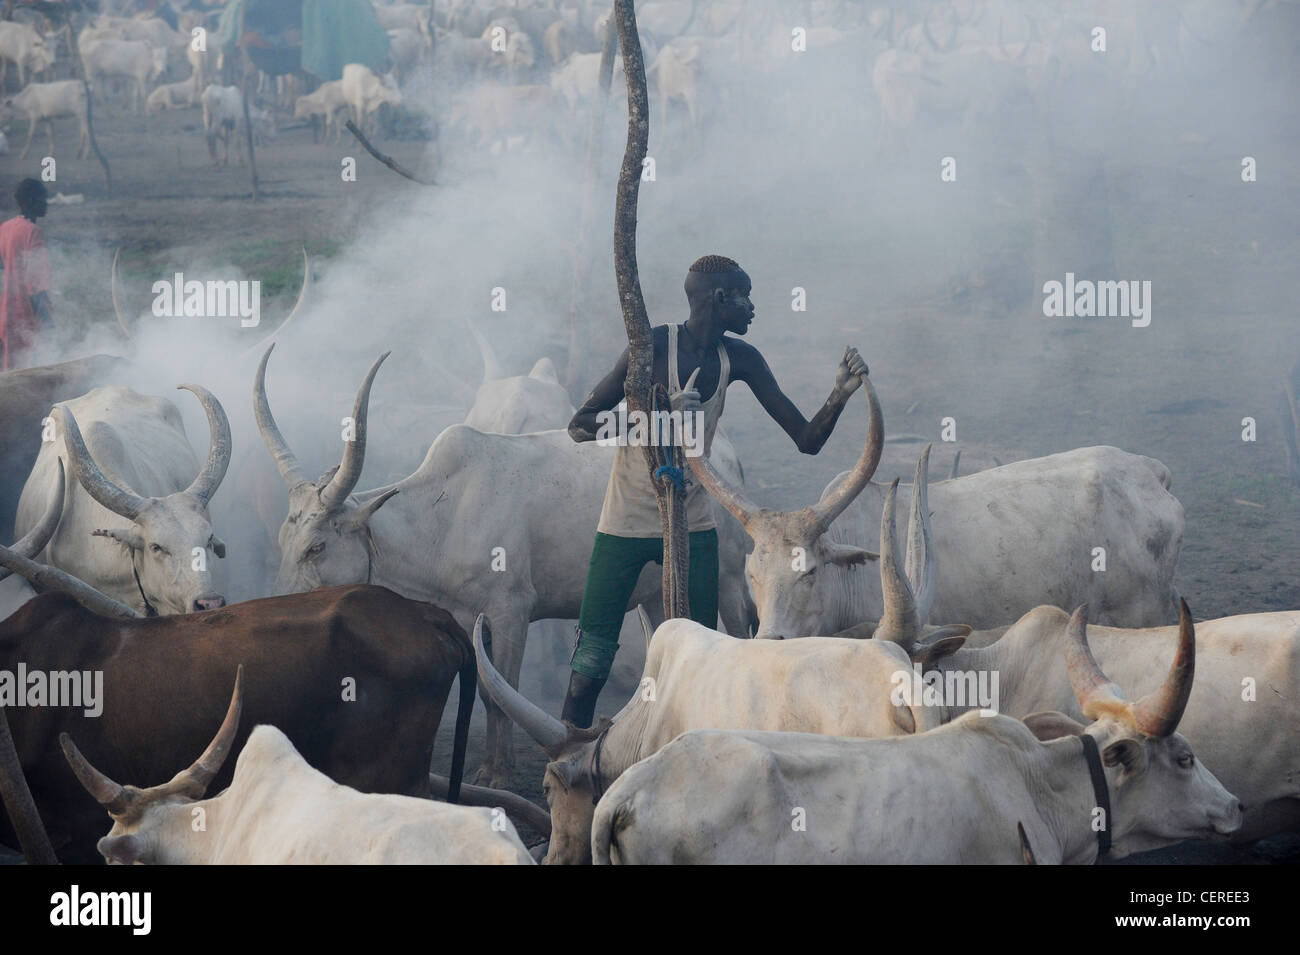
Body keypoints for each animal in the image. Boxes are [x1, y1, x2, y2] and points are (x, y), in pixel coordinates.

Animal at [254, 346, 753, 787]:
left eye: (317, 547)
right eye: (283, 541)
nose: (280, 610)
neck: (445, 514)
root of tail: (723, 451)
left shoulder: (511, 610)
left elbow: (500, 694)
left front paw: (498, 773)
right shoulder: (468, 616)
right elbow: (489, 687)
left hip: (726, 576)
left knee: (741, 631)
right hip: (653, 590)